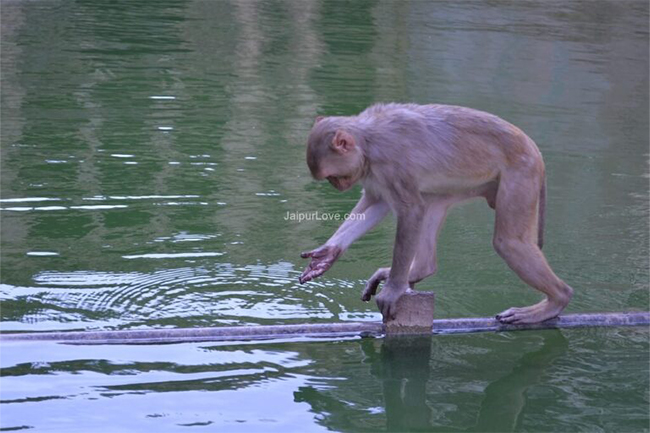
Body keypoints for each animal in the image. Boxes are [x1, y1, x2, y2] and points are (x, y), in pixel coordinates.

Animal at [299, 103, 573, 324]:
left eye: (334, 177)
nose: (338, 186)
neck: (368, 142)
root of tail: (535, 150)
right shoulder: (373, 171)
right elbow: (378, 202)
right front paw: (328, 253)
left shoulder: (392, 162)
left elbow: (410, 210)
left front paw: (394, 290)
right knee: (432, 202)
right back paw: (420, 269)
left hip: (521, 175)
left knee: (510, 243)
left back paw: (556, 300)